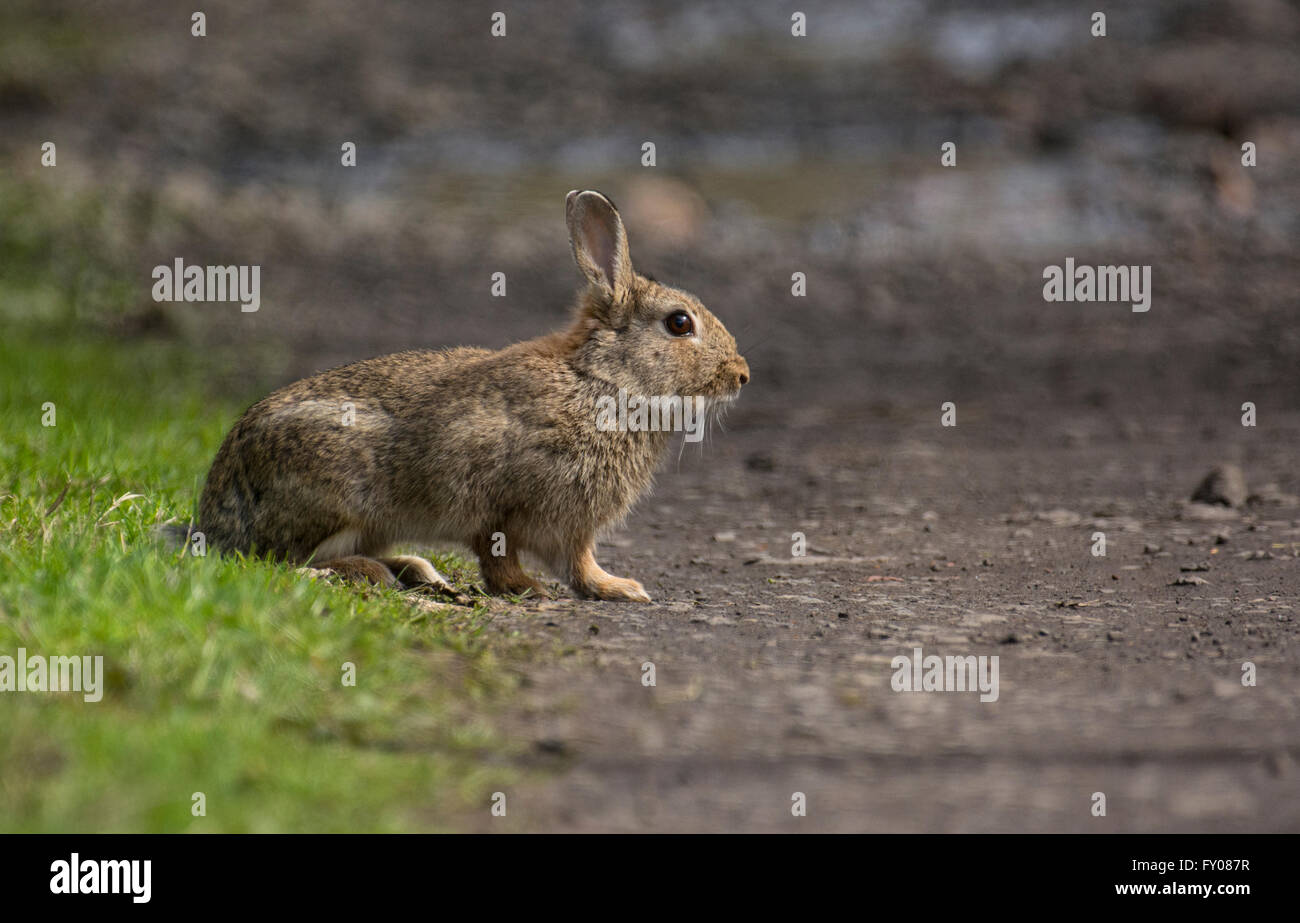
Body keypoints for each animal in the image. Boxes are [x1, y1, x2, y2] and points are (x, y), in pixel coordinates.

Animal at [190, 189, 750, 602]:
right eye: (679, 324)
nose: (742, 375)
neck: (603, 380)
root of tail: (215, 517)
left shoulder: (573, 528)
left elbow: (579, 564)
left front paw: (616, 588)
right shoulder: (498, 500)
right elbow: (498, 553)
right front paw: (533, 589)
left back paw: (416, 568)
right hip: (335, 493)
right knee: (281, 561)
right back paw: (371, 573)